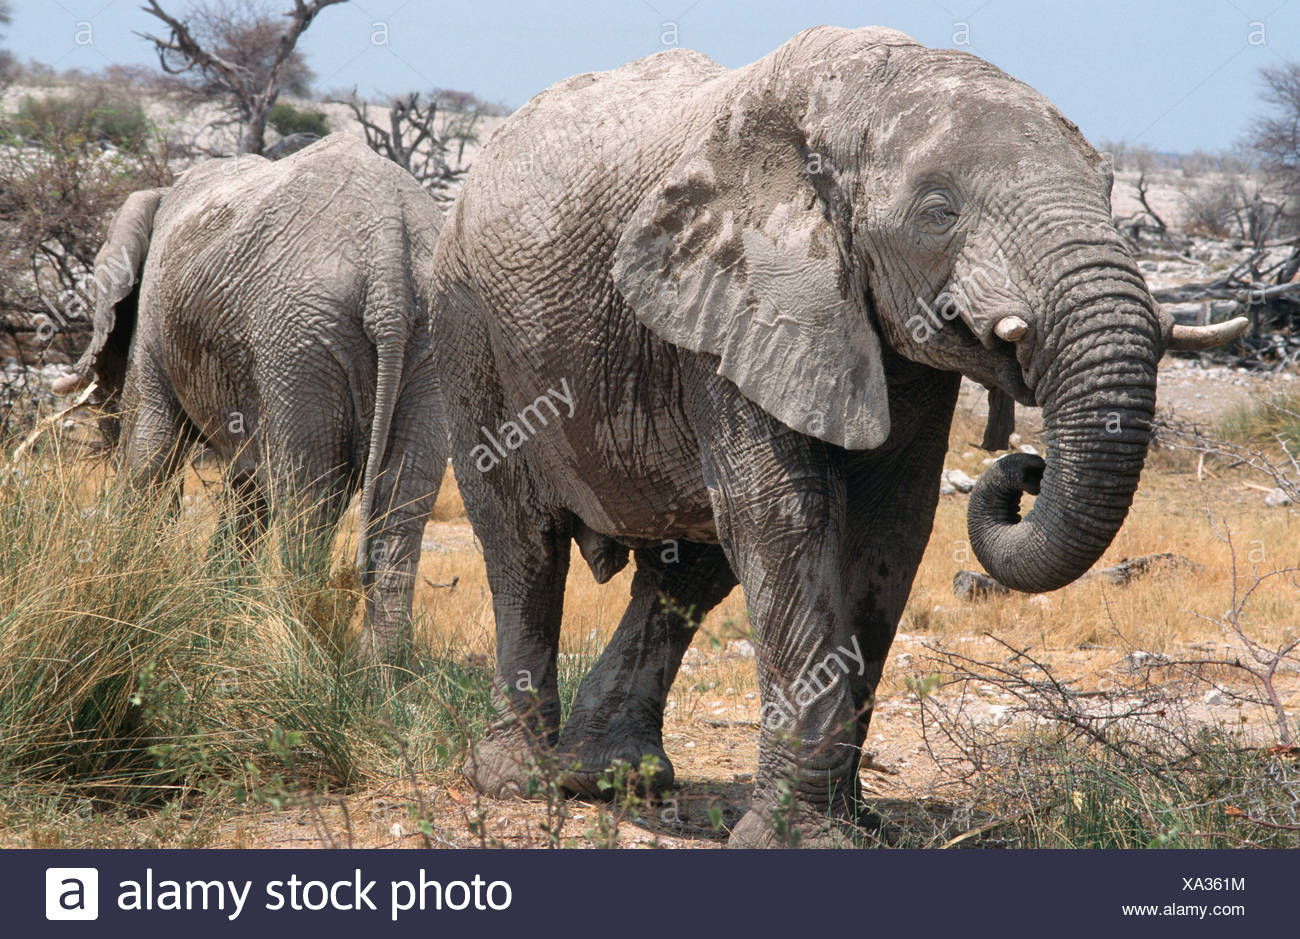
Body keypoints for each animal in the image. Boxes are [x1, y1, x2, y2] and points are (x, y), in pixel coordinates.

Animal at [54, 134, 447, 663]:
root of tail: (388, 265)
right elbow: (245, 485)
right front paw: (213, 611)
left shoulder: (156, 320)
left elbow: (150, 454)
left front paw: (125, 589)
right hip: (429, 344)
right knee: (403, 502)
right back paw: (377, 671)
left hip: (296, 343)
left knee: (308, 497)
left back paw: (298, 647)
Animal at [427, 27, 1247, 845]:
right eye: (938, 212)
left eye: (1108, 189)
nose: (1027, 469)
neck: (855, 104)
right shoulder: (739, 298)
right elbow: (786, 516)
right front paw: (800, 838)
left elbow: (891, 528)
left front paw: (854, 825)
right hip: (469, 332)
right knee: (525, 548)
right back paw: (520, 780)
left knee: (687, 569)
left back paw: (611, 778)